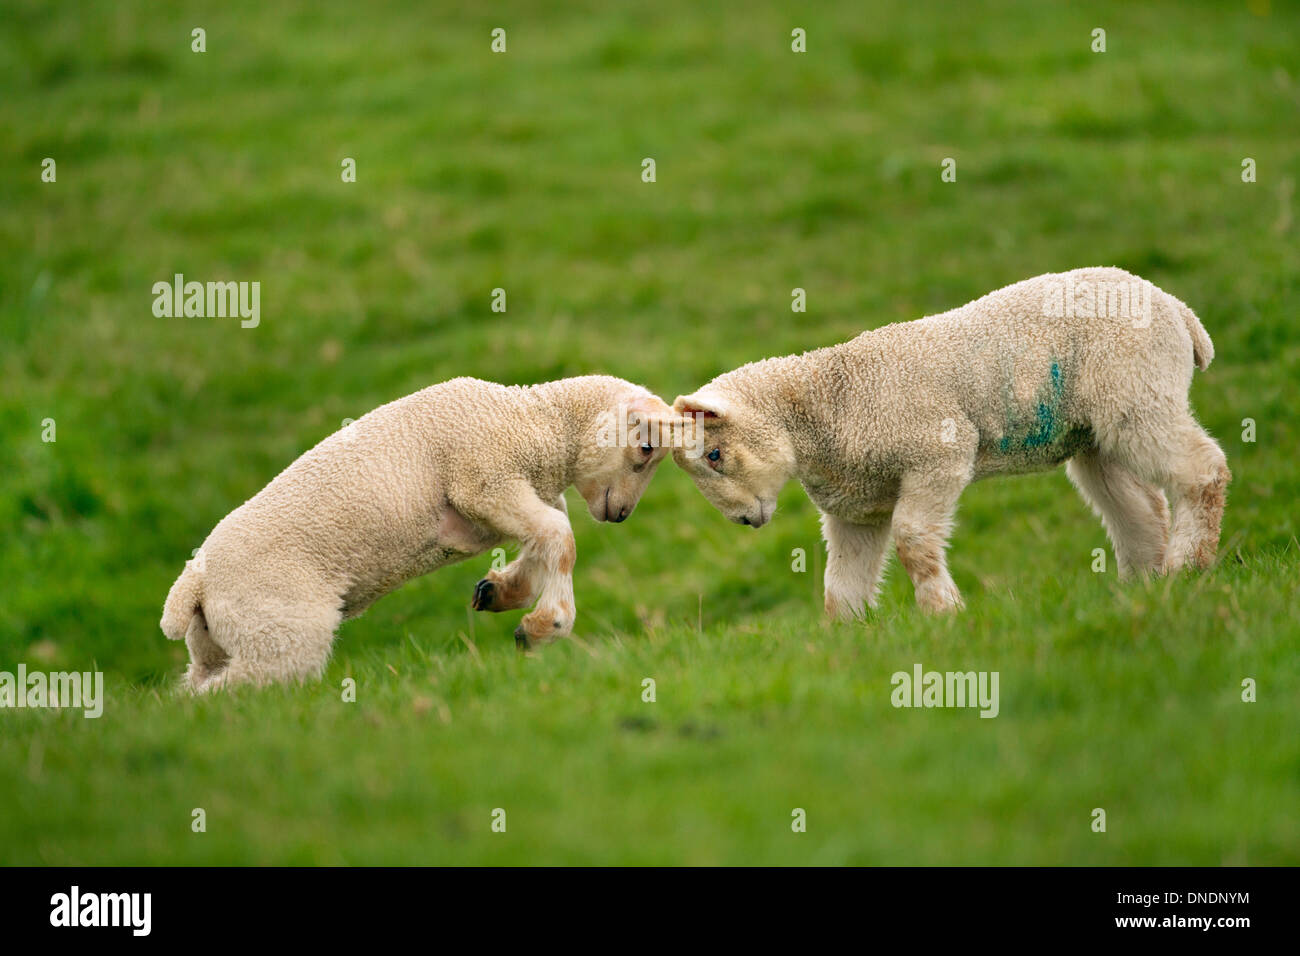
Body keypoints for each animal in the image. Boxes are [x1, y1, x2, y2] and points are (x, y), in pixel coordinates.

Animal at [160, 375, 678, 691]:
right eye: (646, 448)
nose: (622, 515)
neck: (536, 425)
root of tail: (194, 582)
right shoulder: (483, 480)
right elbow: (559, 535)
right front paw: (544, 626)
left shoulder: (503, 501)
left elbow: (548, 535)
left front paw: (501, 591)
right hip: (280, 632)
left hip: (223, 640)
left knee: (196, 685)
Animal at [671, 267, 1230, 617]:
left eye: (714, 455)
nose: (746, 521)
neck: (828, 402)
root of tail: (1178, 309)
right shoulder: (857, 508)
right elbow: (841, 585)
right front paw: (844, 640)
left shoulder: (938, 455)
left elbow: (914, 541)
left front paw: (943, 614)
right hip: (1098, 432)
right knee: (1141, 511)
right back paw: (1145, 586)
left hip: (1136, 391)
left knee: (1203, 470)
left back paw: (1188, 566)